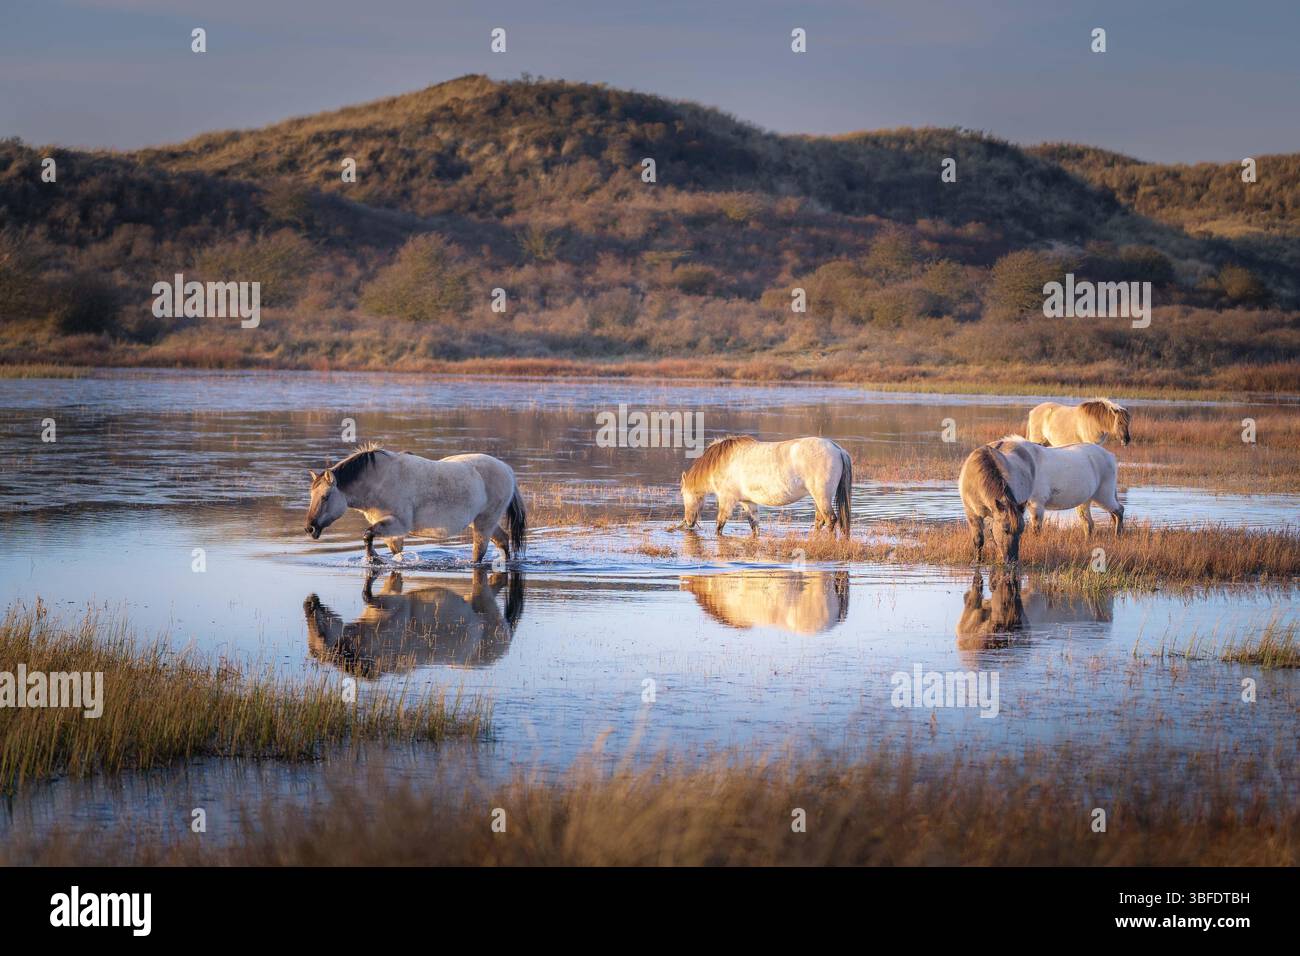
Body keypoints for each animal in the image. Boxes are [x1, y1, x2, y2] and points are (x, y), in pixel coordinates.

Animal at [304, 442, 526, 564]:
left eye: (325, 497)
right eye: (311, 495)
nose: (309, 528)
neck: (378, 479)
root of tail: (507, 469)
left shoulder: (397, 524)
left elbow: (367, 535)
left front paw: (373, 558)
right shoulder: (392, 532)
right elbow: (396, 553)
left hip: (484, 523)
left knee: (479, 553)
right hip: (483, 521)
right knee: (503, 541)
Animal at [678, 435, 852, 537]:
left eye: (683, 495)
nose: (689, 522)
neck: (722, 461)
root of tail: (838, 449)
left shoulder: (727, 500)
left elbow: (720, 525)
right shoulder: (748, 502)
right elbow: (754, 525)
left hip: (822, 495)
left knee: (830, 519)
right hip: (818, 497)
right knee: (820, 520)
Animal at [959, 435, 1124, 562]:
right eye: (1005, 530)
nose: (1012, 559)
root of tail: (1109, 456)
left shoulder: (1036, 506)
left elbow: (1036, 530)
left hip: (1104, 496)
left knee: (1118, 511)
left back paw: (1118, 536)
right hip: (1086, 501)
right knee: (1089, 524)